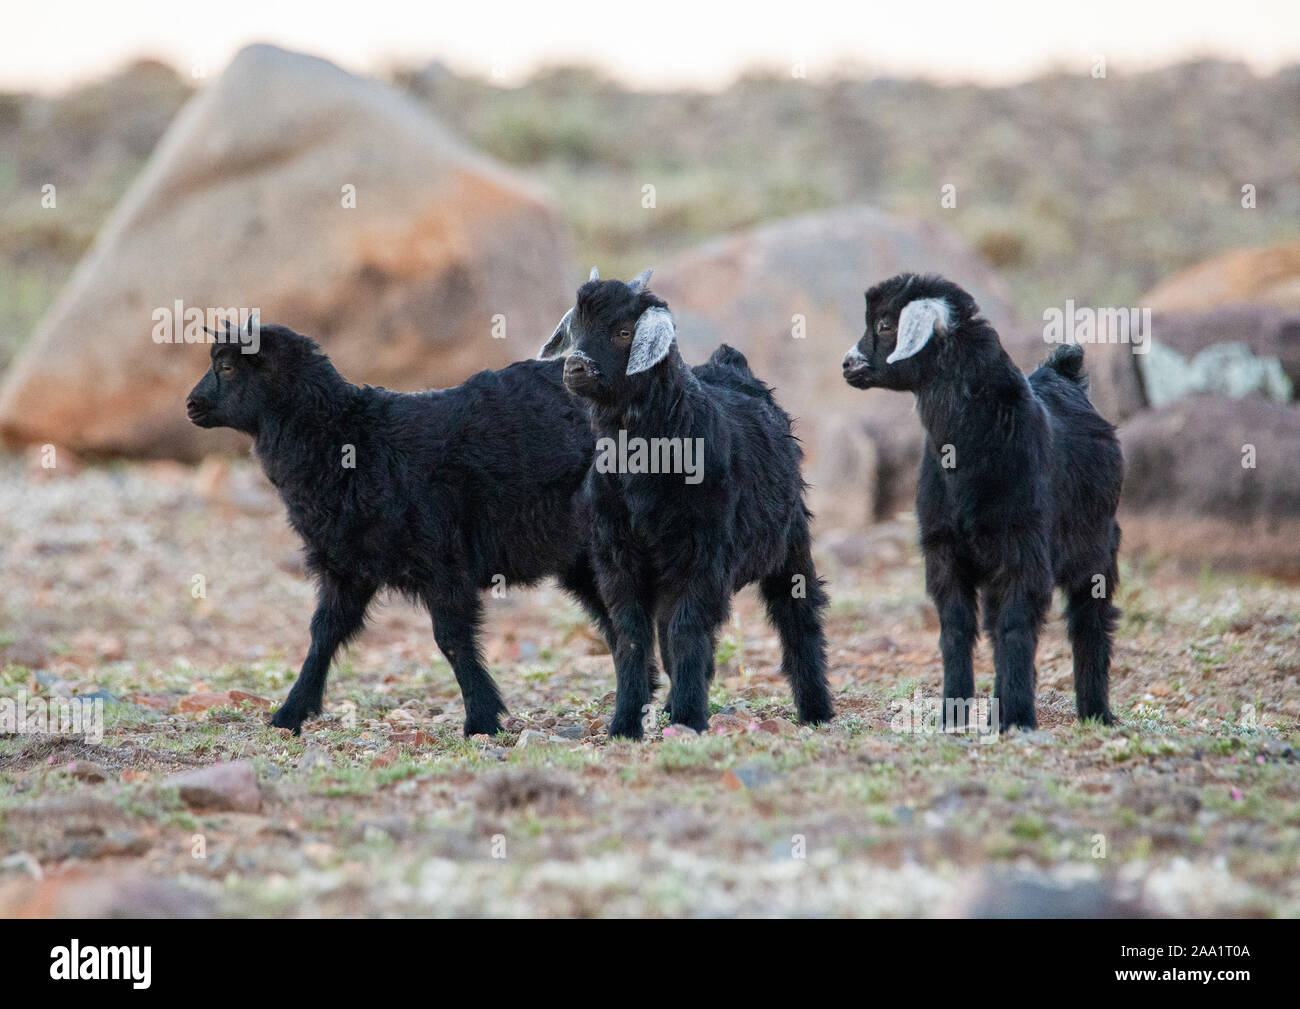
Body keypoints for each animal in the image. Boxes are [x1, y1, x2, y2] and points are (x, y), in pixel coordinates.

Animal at [186, 315, 612, 736]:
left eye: (228, 367)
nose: (192, 405)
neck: (348, 437)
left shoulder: (442, 560)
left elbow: (451, 639)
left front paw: (482, 718)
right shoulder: (346, 567)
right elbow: (324, 634)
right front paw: (290, 714)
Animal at [541, 267, 834, 739]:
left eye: (624, 332)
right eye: (576, 331)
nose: (575, 366)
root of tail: (728, 364)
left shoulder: (703, 555)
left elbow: (686, 631)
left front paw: (689, 719)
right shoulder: (617, 557)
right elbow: (632, 636)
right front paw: (626, 724)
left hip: (790, 540)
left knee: (798, 614)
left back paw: (816, 710)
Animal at [841, 273, 1123, 731]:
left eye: (885, 324)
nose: (848, 365)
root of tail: (1063, 373)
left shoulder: (1024, 552)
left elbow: (1015, 628)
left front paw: (1020, 718)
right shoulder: (945, 551)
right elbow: (956, 630)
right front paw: (952, 715)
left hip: (1097, 543)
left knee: (1090, 622)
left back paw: (1096, 712)